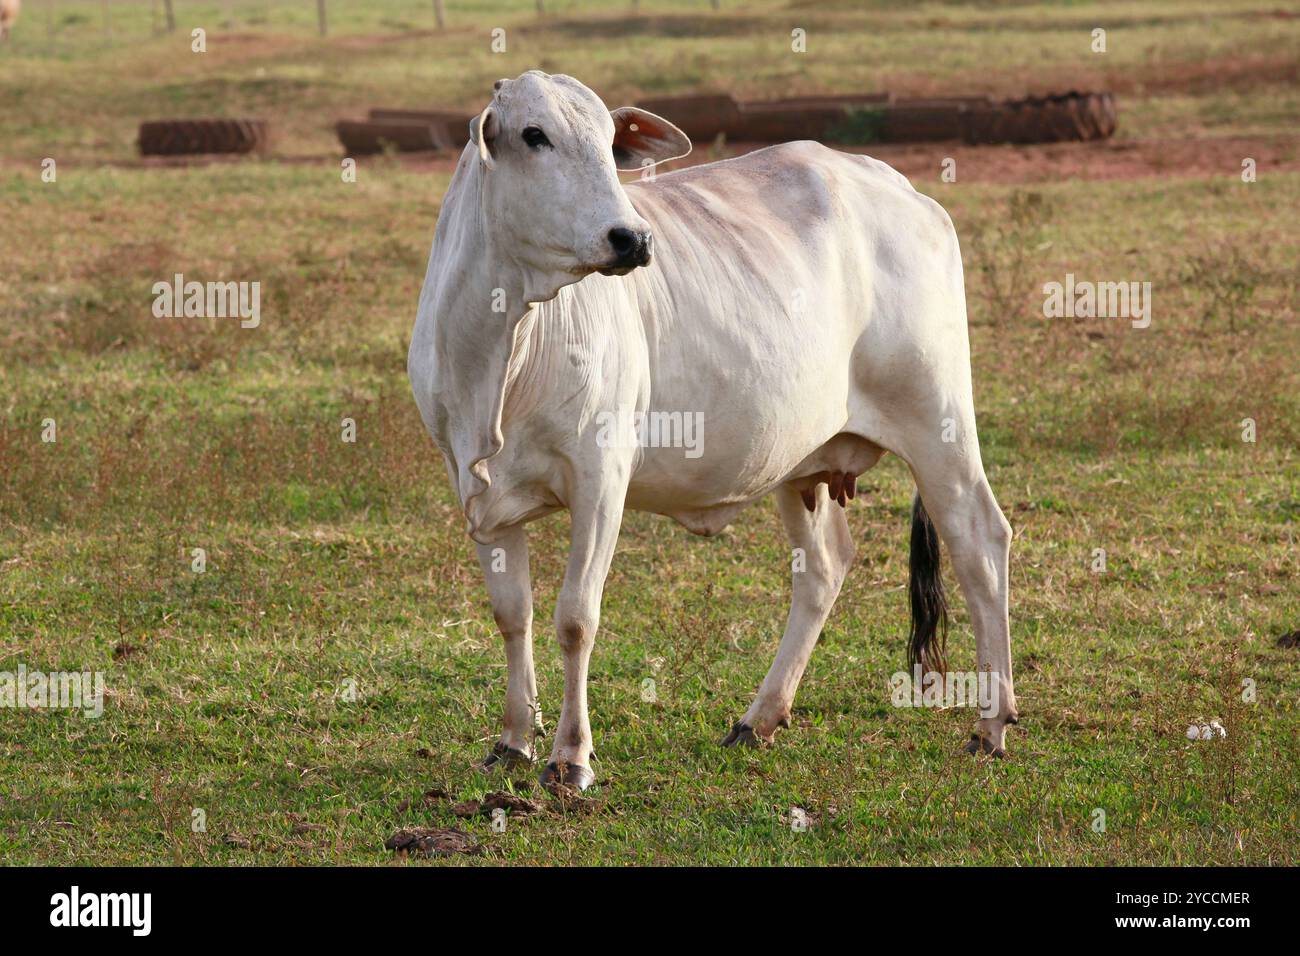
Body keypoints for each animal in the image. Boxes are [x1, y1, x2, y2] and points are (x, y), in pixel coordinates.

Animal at [408, 71, 1018, 791]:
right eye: (535, 135)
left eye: (610, 142)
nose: (632, 239)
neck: (503, 349)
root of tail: (902, 189)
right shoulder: (477, 491)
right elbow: (513, 616)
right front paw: (511, 741)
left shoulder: (601, 477)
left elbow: (575, 618)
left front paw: (571, 757)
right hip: (801, 459)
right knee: (824, 567)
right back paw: (761, 717)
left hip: (937, 418)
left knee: (980, 542)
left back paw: (992, 723)